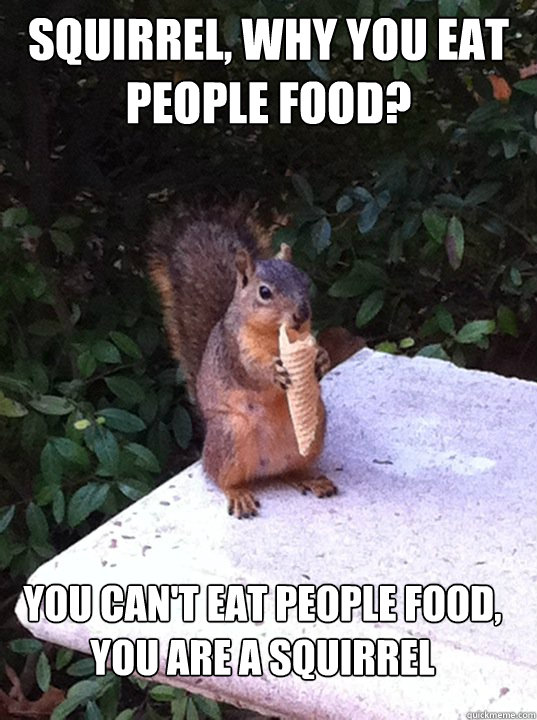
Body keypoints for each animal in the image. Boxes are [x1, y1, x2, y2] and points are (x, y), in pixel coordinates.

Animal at [148, 201, 336, 518]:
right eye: (264, 292)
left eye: (305, 281)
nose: (302, 314)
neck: (273, 335)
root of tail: (267, 470)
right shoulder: (234, 350)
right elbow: (250, 372)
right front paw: (275, 372)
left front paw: (321, 358)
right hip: (230, 435)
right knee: (221, 477)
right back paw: (238, 495)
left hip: (315, 427)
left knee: (291, 471)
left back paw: (310, 478)